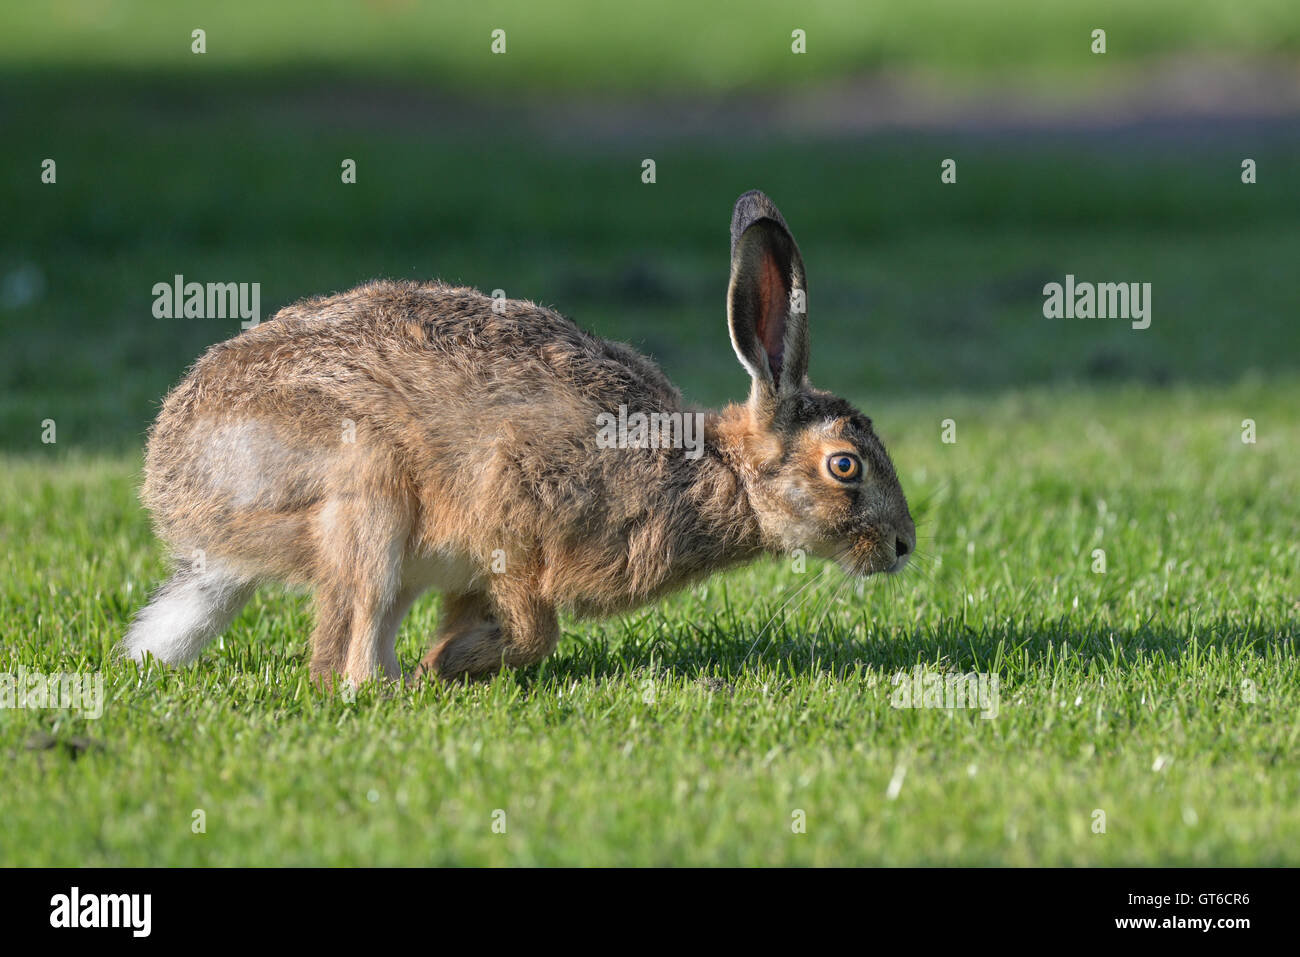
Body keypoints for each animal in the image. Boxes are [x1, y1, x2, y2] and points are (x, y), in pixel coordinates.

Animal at [123, 190, 915, 685]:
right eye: (845, 466)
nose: (905, 546)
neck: (714, 469)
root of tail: (177, 490)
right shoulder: (513, 522)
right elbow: (538, 631)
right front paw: (448, 664)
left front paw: (447, 658)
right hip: (364, 494)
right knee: (340, 658)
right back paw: (393, 688)